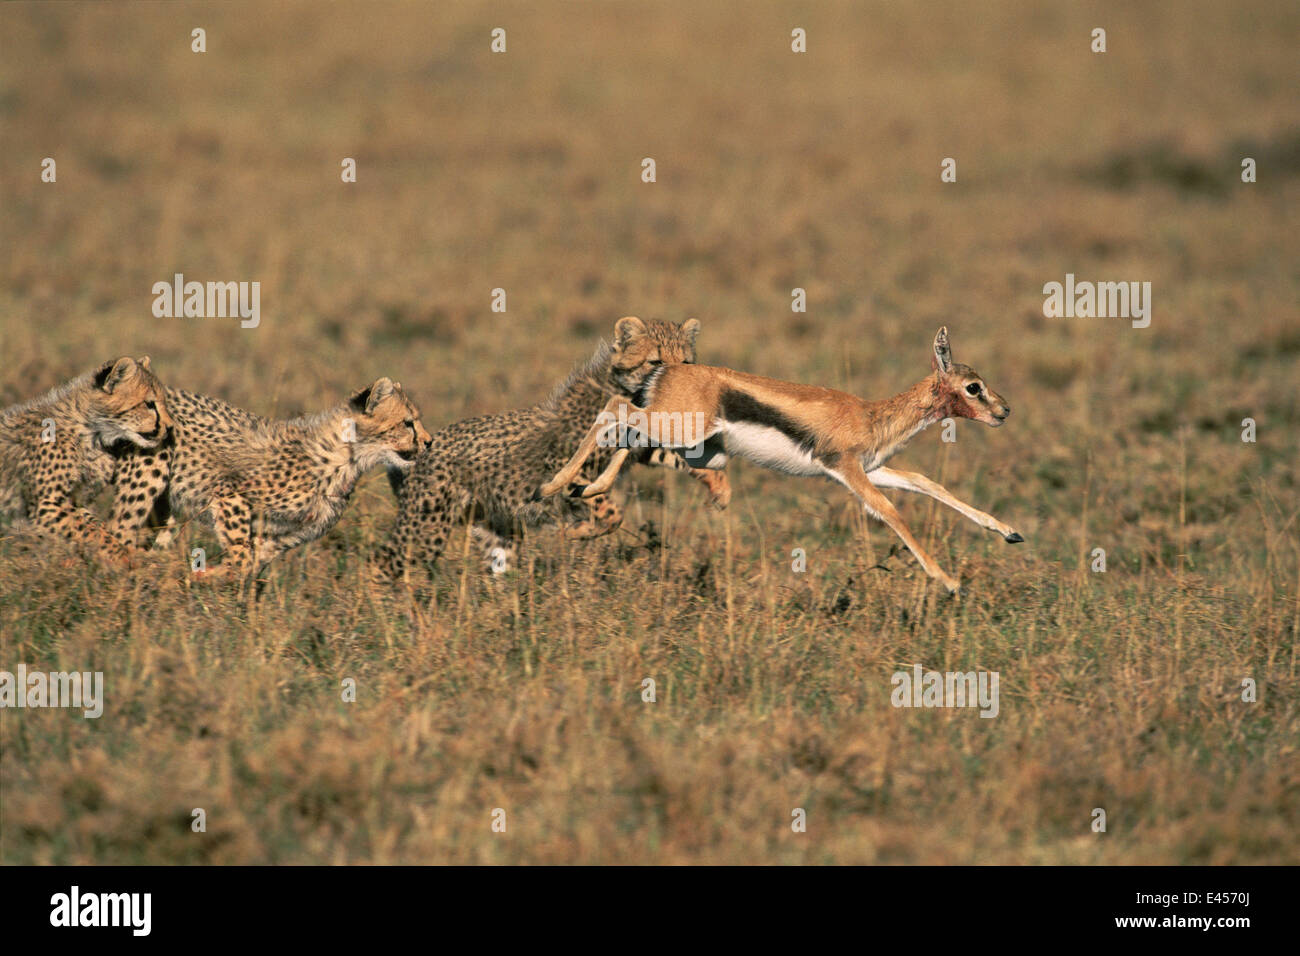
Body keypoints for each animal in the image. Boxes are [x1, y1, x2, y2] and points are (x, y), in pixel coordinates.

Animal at [0, 355, 172, 560]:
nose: (170, 427)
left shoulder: (74, 500)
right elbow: (89, 530)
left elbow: (94, 524)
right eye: (149, 404)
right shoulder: (47, 505)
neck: (91, 431)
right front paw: (123, 556)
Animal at [109, 376, 432, 581]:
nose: (428, 442)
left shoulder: (282, 536)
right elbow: (242, 560)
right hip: (148, 475)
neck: (346, 456)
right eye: (407, 423)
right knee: (114, 533)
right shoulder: (229, 495)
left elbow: (253, 563)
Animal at [368, 316, 729, 582]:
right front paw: (579, 531)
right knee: (382, 561)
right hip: (427, 525)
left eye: (686, 362)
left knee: (497, 567)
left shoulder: (644, 441)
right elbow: (609, 510)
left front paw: (717, 484)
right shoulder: (561, 461)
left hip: (497, 528)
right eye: (655, 361)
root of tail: (422, 447)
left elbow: (673, 454)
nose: (681, 386)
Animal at [538, 327, 1023, 594]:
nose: (1004, 412)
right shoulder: (847, 470)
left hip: (691, 442)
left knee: (626, 429)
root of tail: (668, 368)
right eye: (974, 387)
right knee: (613, 409)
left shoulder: (871, 468)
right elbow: (890, 511)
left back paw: (590, 488)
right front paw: (950, 582)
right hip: (680, 430)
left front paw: (1010, 532)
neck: (872, 416)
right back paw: (552, 487)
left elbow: (927, 482)